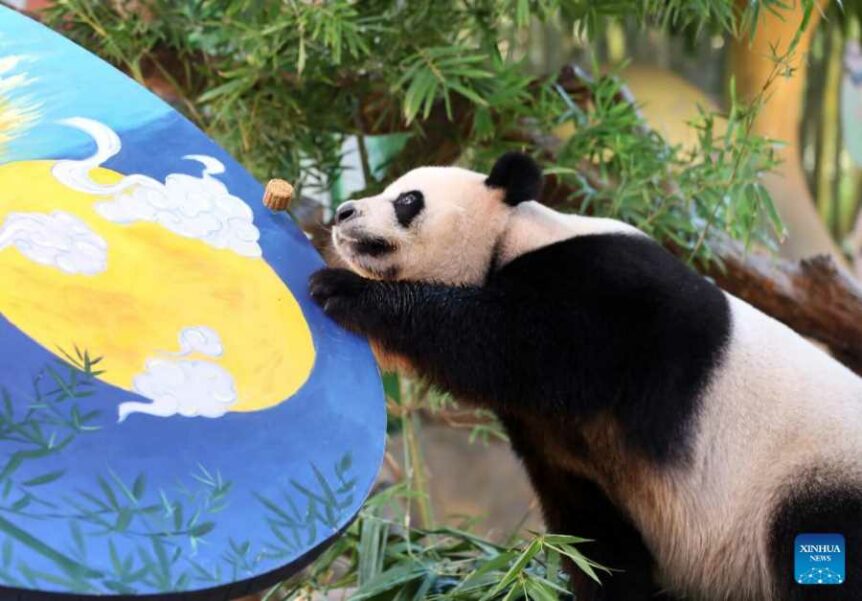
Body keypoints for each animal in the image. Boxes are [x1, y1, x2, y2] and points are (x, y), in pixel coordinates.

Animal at [308, 152, 862, 601]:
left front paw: (342, 289)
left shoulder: (611, 298)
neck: (511, 237)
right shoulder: (563, 455)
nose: (344, 212)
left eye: (407, 199)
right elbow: (595, 538)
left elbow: (507, 341)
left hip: (808, 481)